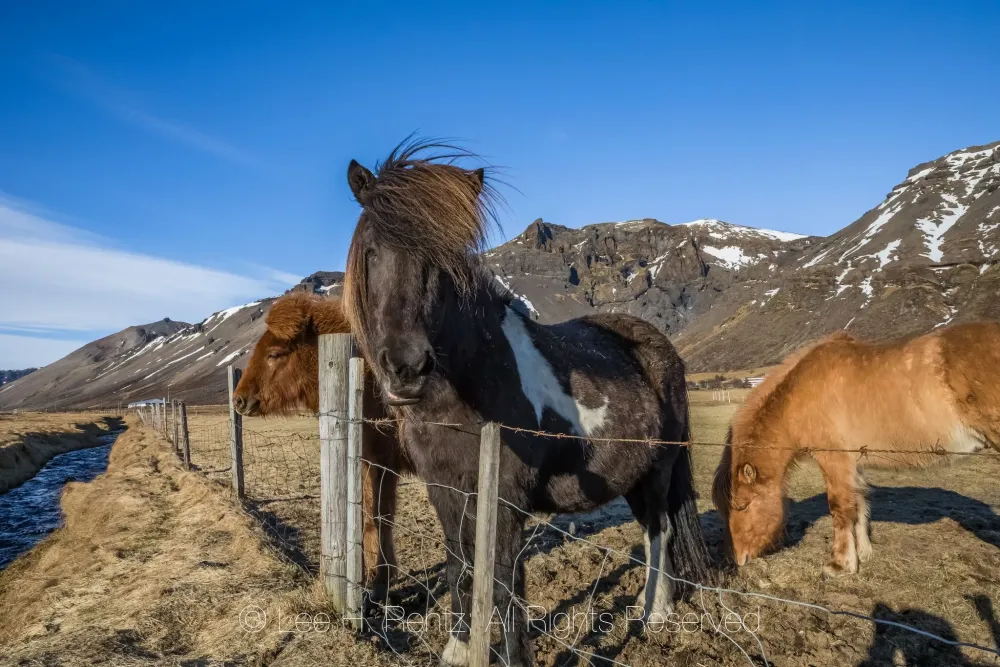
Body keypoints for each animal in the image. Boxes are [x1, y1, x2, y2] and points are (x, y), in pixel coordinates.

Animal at [232, 292, 410, 597]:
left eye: (274, 354)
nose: (239, 400)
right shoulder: (370, 462)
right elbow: (370, 517)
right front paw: (375, 576)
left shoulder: (384, 464)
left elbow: (380, 516)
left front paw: (380, 579)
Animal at [342, 140, 714, 667]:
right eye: (372, 251)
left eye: (442, 257)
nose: (406, 368)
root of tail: (660, 346)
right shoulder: (445, 490)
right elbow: (459, 566)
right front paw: (458, 648)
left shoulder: (505, 499)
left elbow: (502, 582)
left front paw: (513, 655)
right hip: (633, 475)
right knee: (648, 528)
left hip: (660, 469)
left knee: (661, 530)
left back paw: (654, 613)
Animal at [712, 323, 1000, 578]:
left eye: (742, 506)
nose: (737, 559)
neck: (801, 391)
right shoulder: (855, 464)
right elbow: (859, 505)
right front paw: (863, 553)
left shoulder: (834, 460)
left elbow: (840, 510)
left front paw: (840, 564)